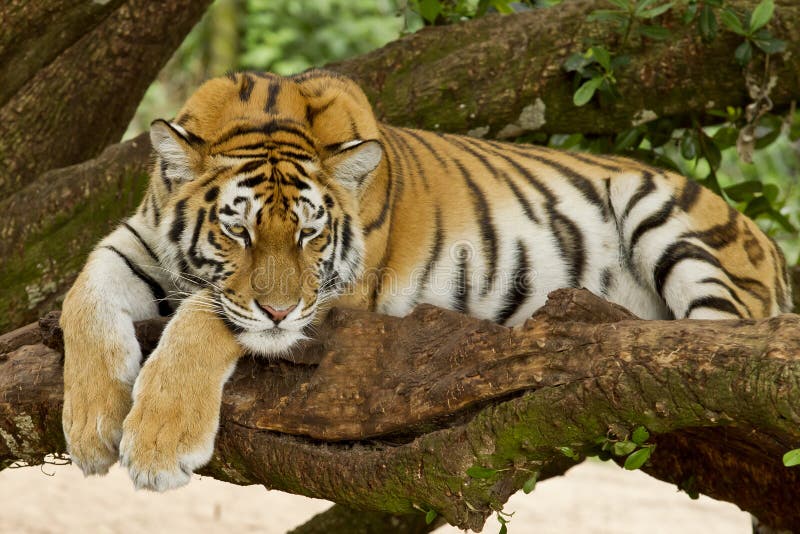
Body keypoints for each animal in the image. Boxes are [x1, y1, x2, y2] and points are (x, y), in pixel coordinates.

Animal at [60, 69, 793, 491]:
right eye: (236, 231)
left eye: (310, 234)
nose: (278, 311)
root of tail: (772, 246)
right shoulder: (139, 240)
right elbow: (82, 295)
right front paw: (93, 428)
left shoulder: (331, 295)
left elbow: (204, 316)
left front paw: (158, 445)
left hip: (662, 210)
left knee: (707, 351)